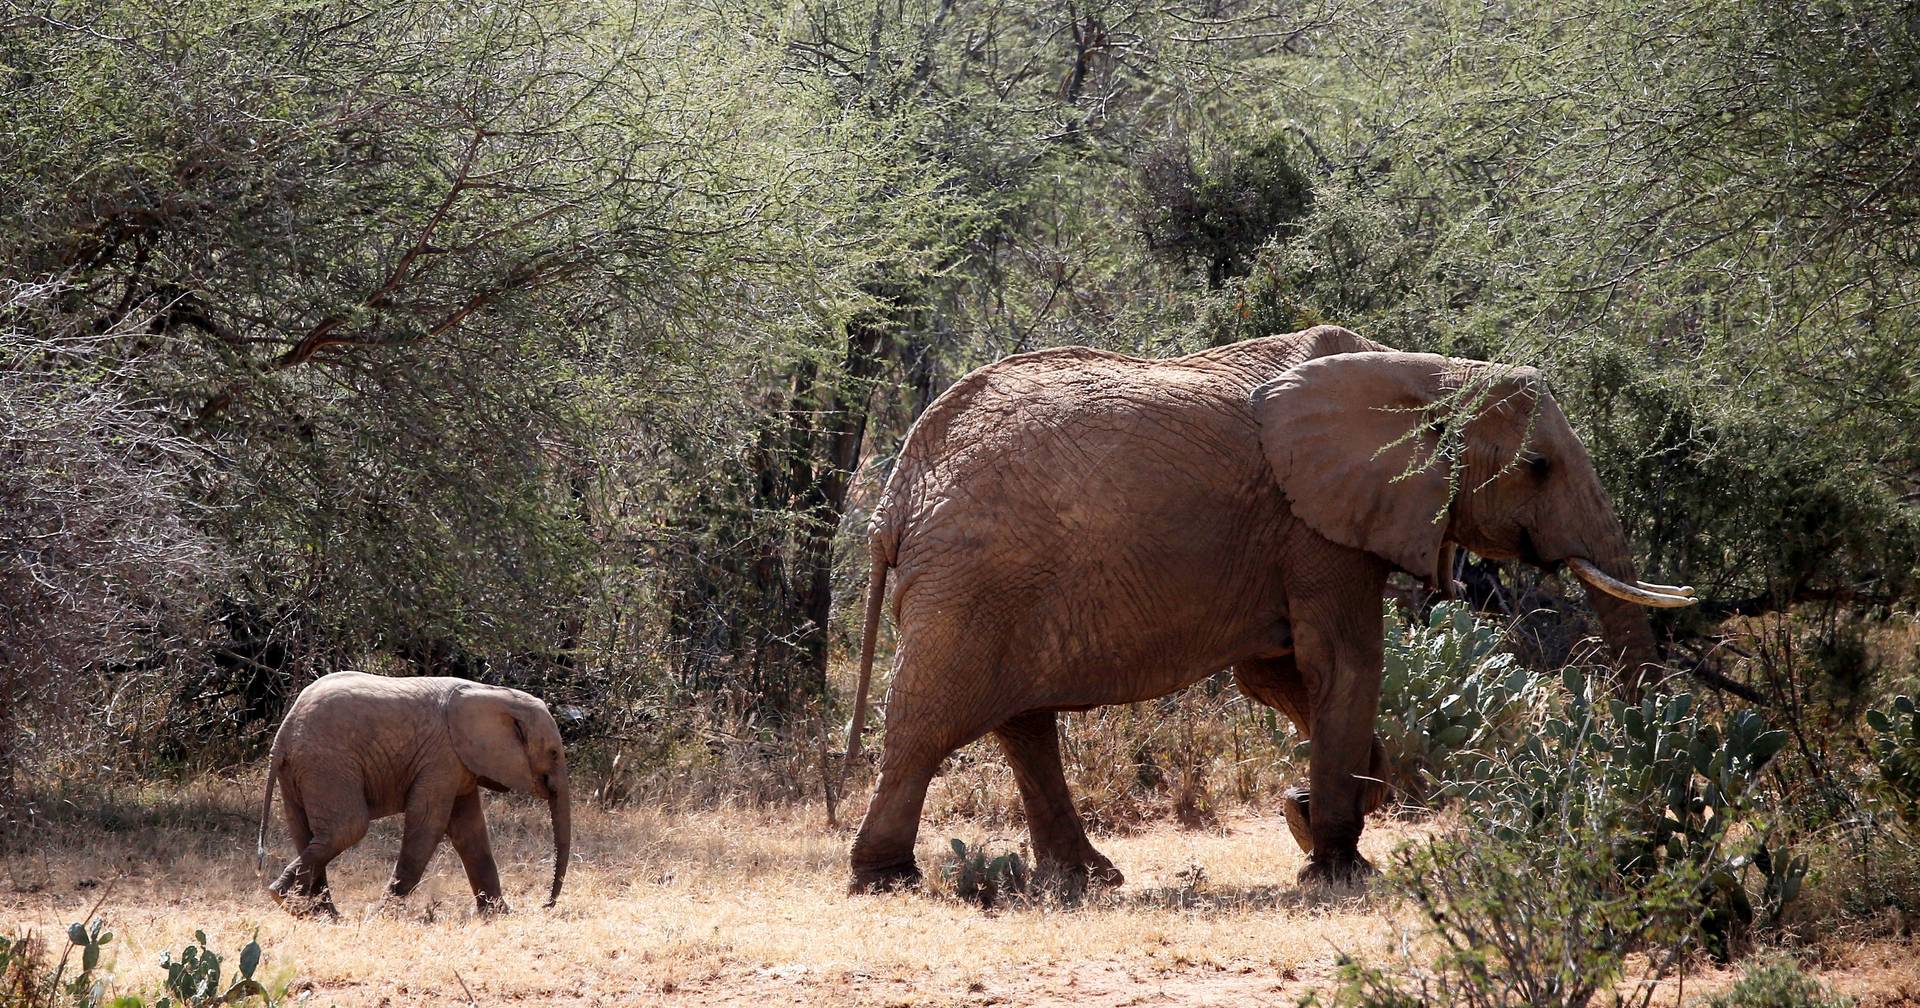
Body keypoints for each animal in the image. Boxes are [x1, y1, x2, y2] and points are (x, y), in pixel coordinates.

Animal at [256, 671, 571, 918]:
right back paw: (285, 900)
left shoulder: (458, 763)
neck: (493, 694)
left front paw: (498, 915)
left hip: (301, 770)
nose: (546, 905)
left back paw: (317, 914)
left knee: (307, 833)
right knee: (348, 828)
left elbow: (470, 832)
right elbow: (428, 824)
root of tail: (283, 735)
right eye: (554, 753)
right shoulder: (441, 757)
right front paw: (381, 915)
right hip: (326, 764)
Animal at [841, 325, 1695, 892]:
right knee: (929, 724)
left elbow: (1277, 676)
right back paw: (888, 879)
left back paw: (1090, 878)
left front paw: (1308, 813)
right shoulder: (1316, 524)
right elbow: (1344, 663)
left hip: (992, 581)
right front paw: (1339, 867)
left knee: (1023, 724)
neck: (1431, 372)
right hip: (971, 580)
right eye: (1539, 467)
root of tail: (898, 491)